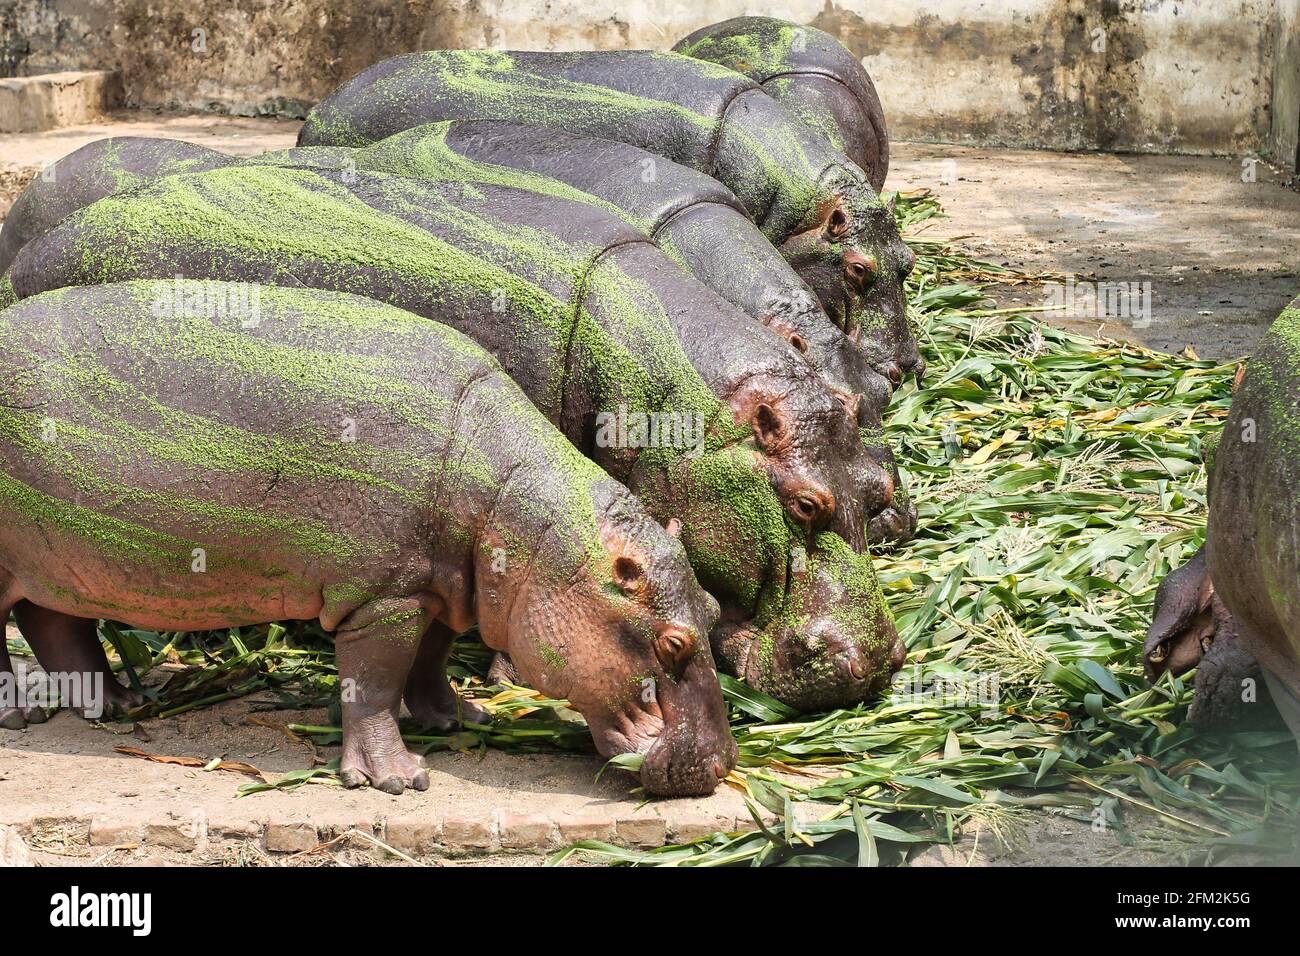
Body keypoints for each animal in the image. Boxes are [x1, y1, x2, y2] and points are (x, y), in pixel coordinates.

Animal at [0, 280, 738, 795]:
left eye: (713, 612)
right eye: (672, 644)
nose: (723, 765)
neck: (521, 514)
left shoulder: (440, 583)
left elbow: (432, 657)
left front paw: (460, 720)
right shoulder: (383, 597)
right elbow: (376, 683)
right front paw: (399, 779)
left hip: (56, 555)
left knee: (53, 622)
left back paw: (118, 705)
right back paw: (18, 719)